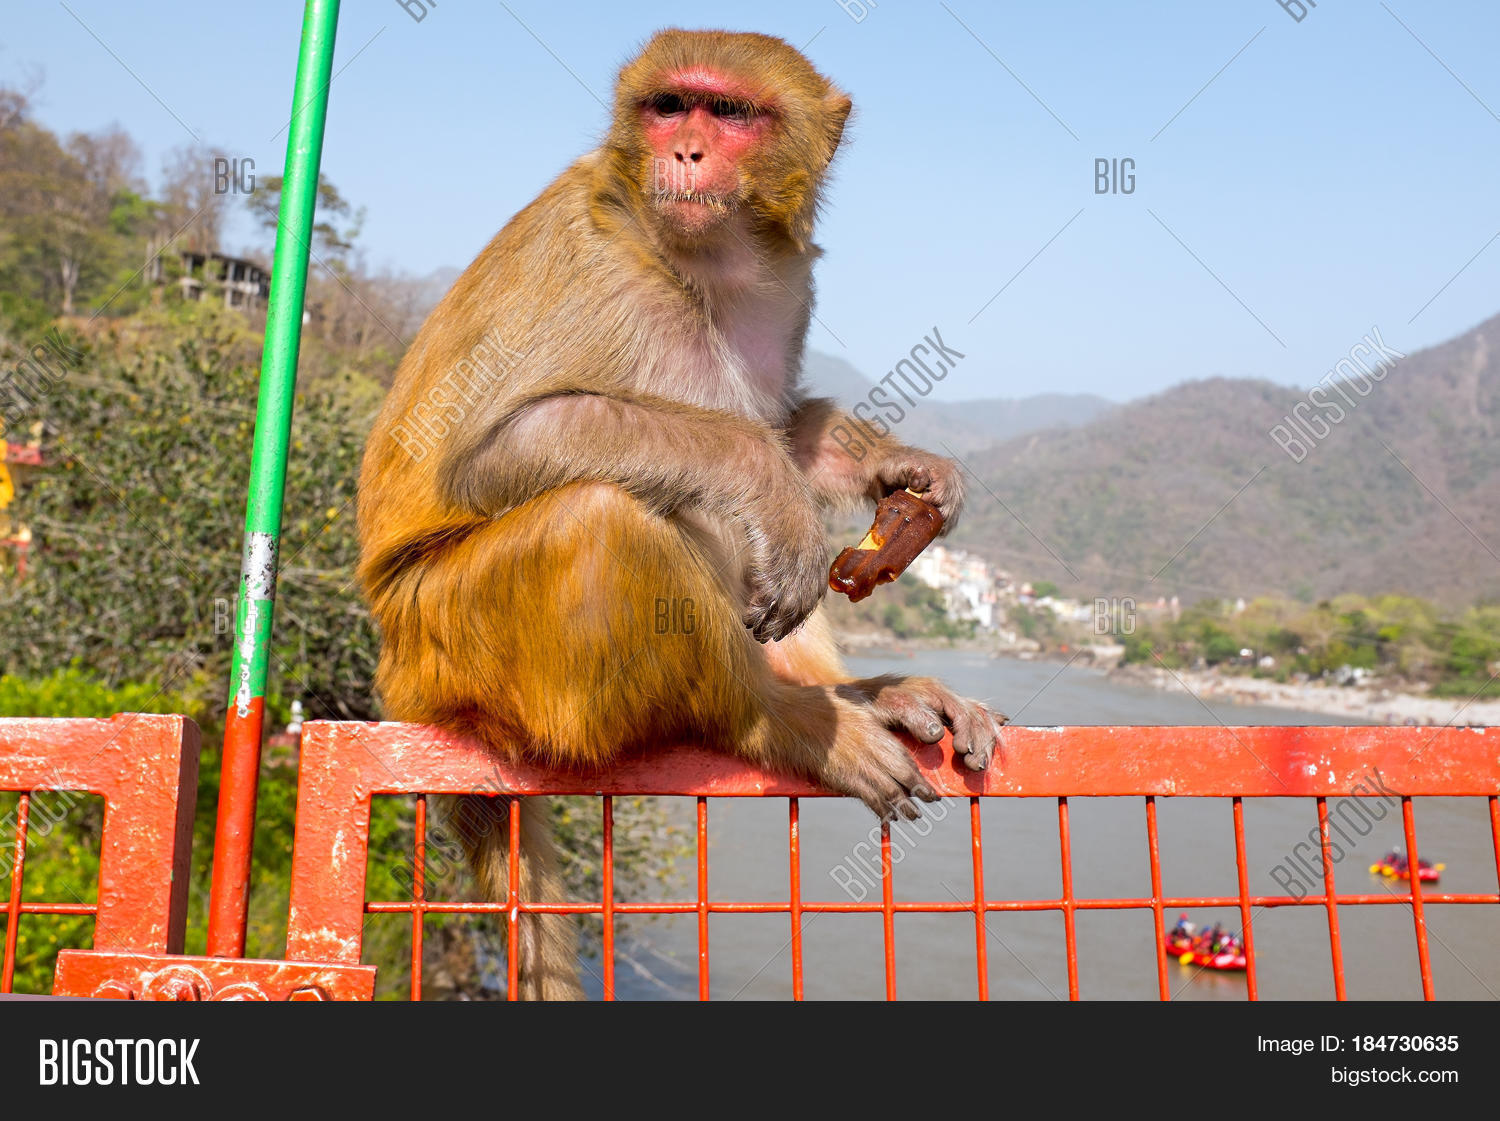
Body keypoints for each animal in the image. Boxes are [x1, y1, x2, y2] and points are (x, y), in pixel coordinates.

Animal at [357, 29, 1006, 1000]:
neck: (712, 260)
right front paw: (764, 477)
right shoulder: (599, 268)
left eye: (730, 112)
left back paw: (851, 691)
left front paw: (900, 467)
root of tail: (401, 682)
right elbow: (494, 448)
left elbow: (788, 425)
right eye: (670, 106)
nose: (687, 151)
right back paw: (778, 718)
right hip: (456, 649)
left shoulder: (787, 284)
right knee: (601, 518)